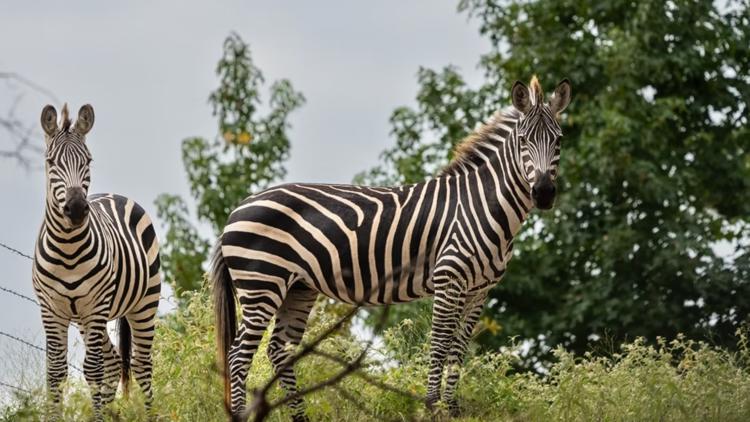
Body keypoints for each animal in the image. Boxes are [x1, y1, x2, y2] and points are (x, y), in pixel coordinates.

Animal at [32, 104, 162, 420]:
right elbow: (55, 373)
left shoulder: (96, 305)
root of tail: (116, 194)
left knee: (141, 365)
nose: (78, 208)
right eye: (51, 162)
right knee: (115, 362)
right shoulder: (50, 308)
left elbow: (92, 370)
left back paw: (151, 414)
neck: (67, 249)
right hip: (85, 316)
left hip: (143, 302)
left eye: (88, 160)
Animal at [211, 76, 571, 421]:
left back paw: (300, 417)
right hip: (262, 282)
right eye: (523, 141)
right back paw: (241, 415)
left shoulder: (480, 290)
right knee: (239, 354)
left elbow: (458, 350)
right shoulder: (449, 279)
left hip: (298, 287)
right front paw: (432, 407)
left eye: (559, 141)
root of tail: (238, 208)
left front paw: (453, 410)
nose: (543, 192)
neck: (483, 206)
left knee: (278, 350)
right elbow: (439, 345)